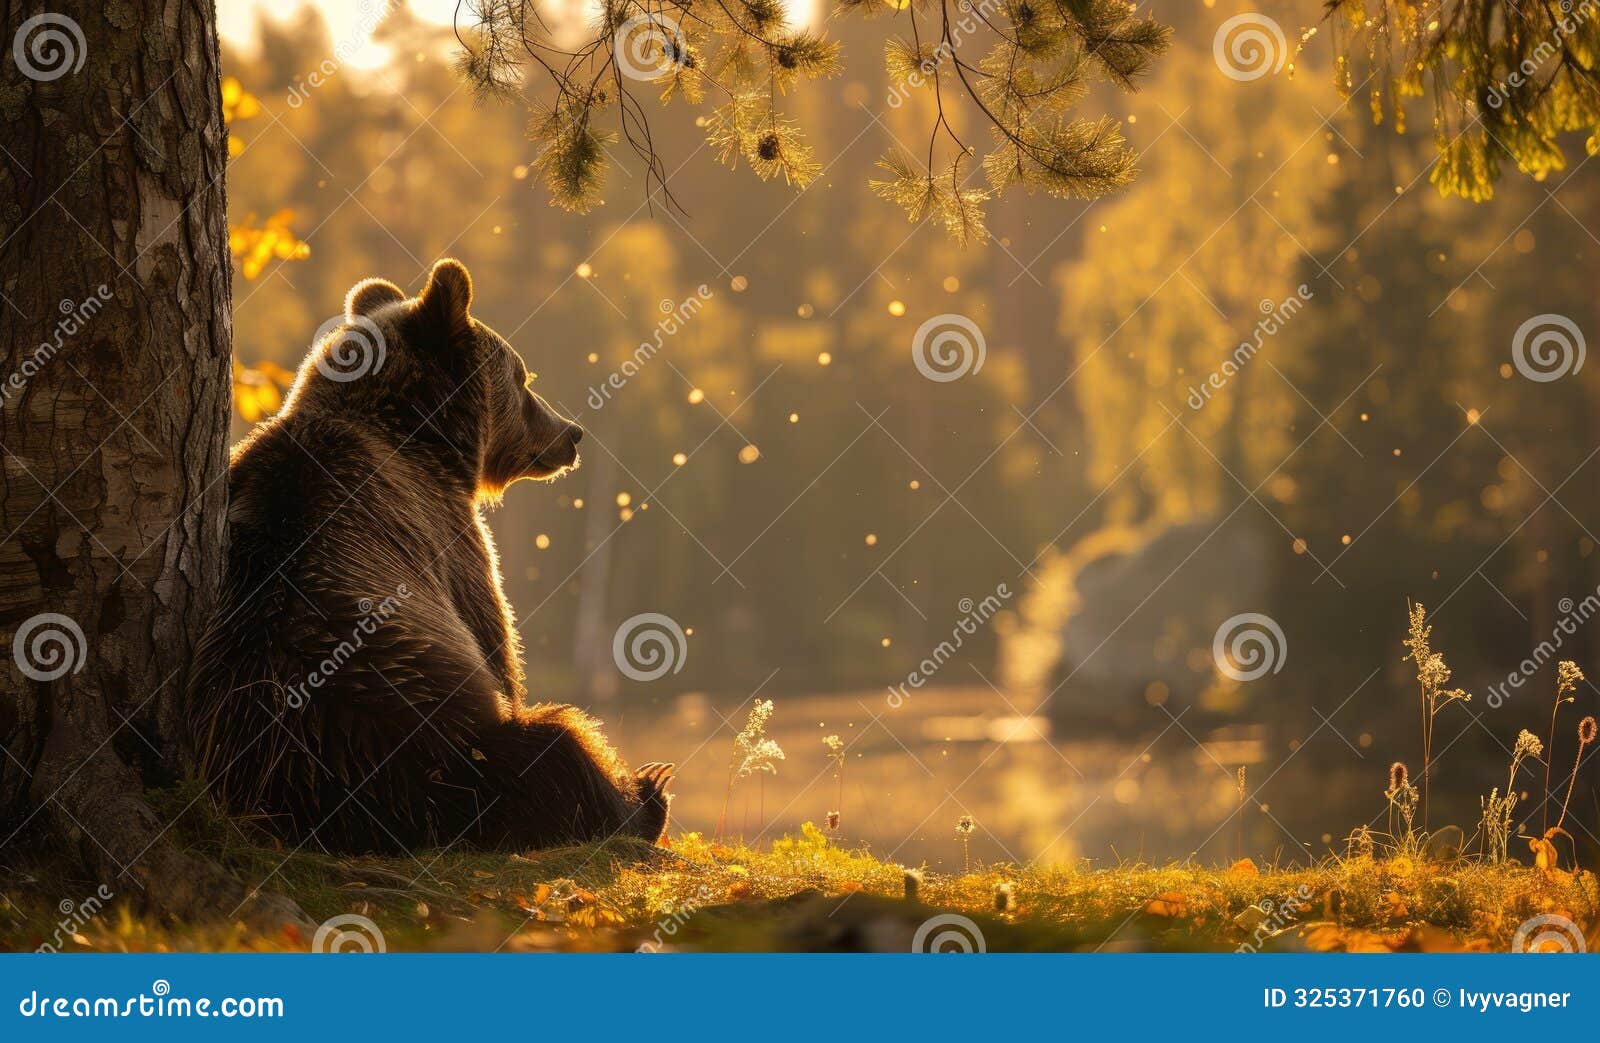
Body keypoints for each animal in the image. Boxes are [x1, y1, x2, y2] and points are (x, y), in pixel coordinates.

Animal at [186, 258, 673, 853]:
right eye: (524, 377)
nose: (572, 433)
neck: (421, 436)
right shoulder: (447, 534)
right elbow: (498, 644)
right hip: (437, 744)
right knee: (556, 749)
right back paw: (646, 793)